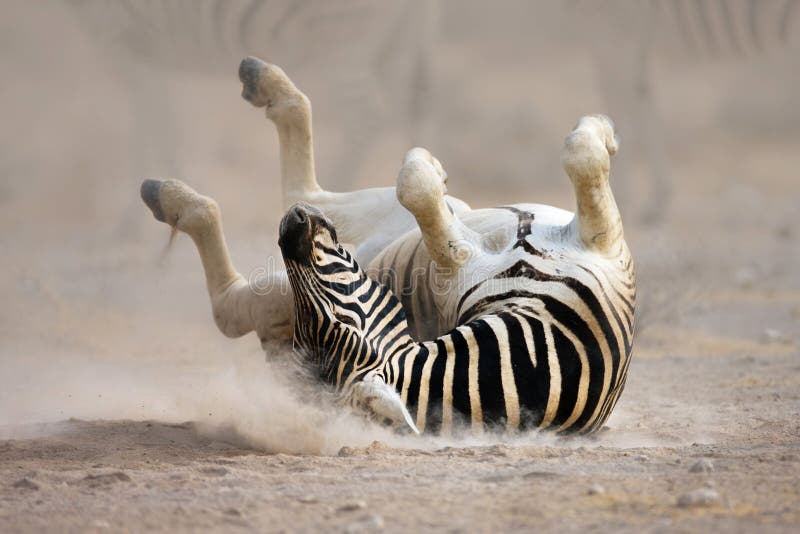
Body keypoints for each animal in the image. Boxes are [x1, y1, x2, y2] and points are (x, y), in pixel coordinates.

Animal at [278, 115, 635, 435]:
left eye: (341, 317)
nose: (290, 227)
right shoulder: (599, 243)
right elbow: (419, 191)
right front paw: (604, 130)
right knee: (313, 192)